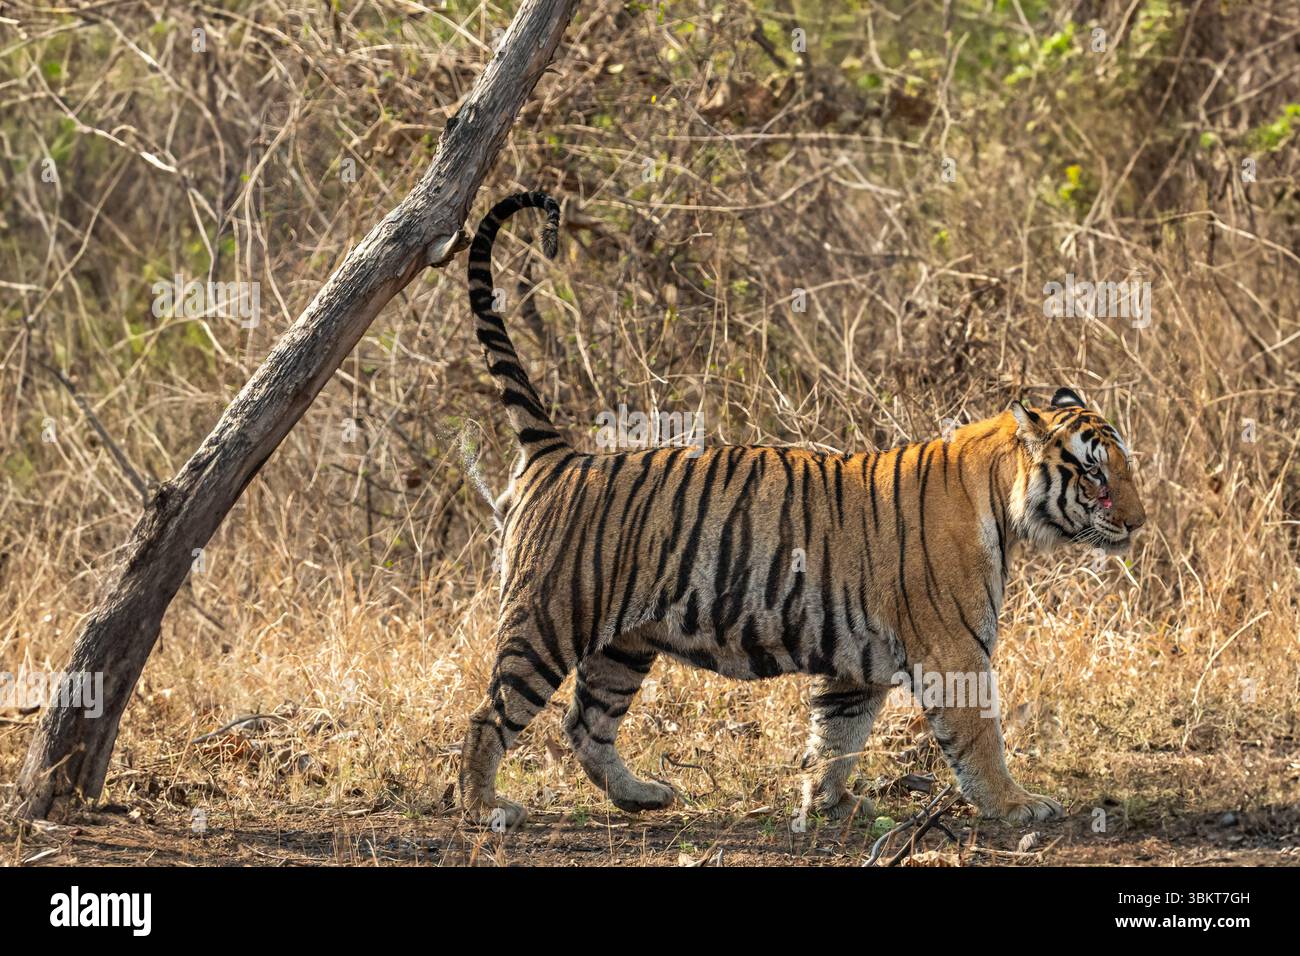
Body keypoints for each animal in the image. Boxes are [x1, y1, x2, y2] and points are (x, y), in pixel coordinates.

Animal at [459, 191, 1147, 829]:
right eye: (1094, 472)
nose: (1138, 523)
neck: (1004, 503)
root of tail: (560, 455)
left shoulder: (859, 662)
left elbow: (838, 735)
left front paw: (828, 803)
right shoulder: (955, 650)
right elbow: (979, 736)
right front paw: (1016, 805)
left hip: (623, 644)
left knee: (586, 722)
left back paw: (642, 795)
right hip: (549, 618)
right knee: (488, 716)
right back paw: (486, 807)